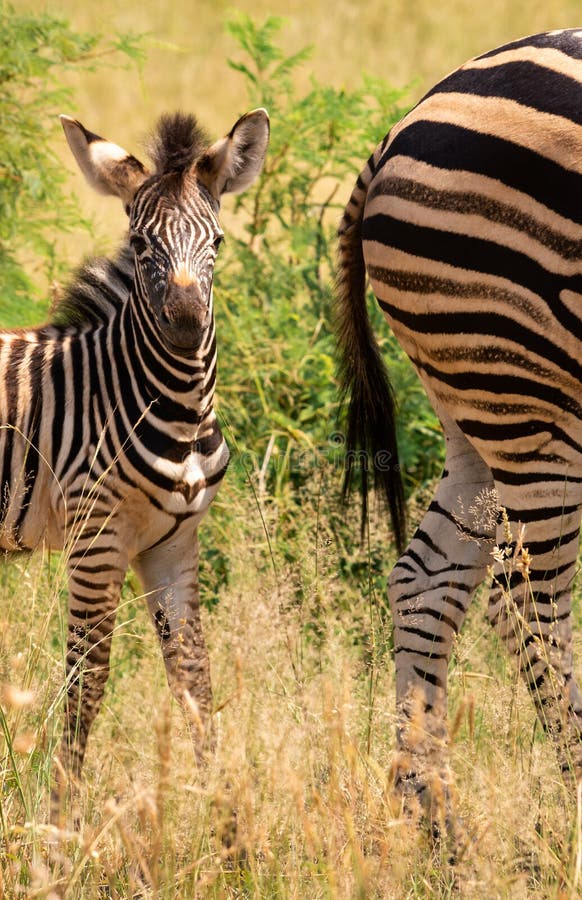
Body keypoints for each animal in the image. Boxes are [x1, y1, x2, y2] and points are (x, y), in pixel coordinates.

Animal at [1, 107, 269, 814]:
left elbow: (195, 680)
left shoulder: (173, 543)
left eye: (219, 242)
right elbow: (86, 683)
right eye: (143, 246)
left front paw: (225, 821)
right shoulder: (97, 538)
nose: (186, 321)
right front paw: (62, 821)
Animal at [336, 28, 582, 833]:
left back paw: (435, 816)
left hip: (476, 402)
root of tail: (404, 123)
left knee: (426, 578)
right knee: (526, 597)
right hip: (528, 391)